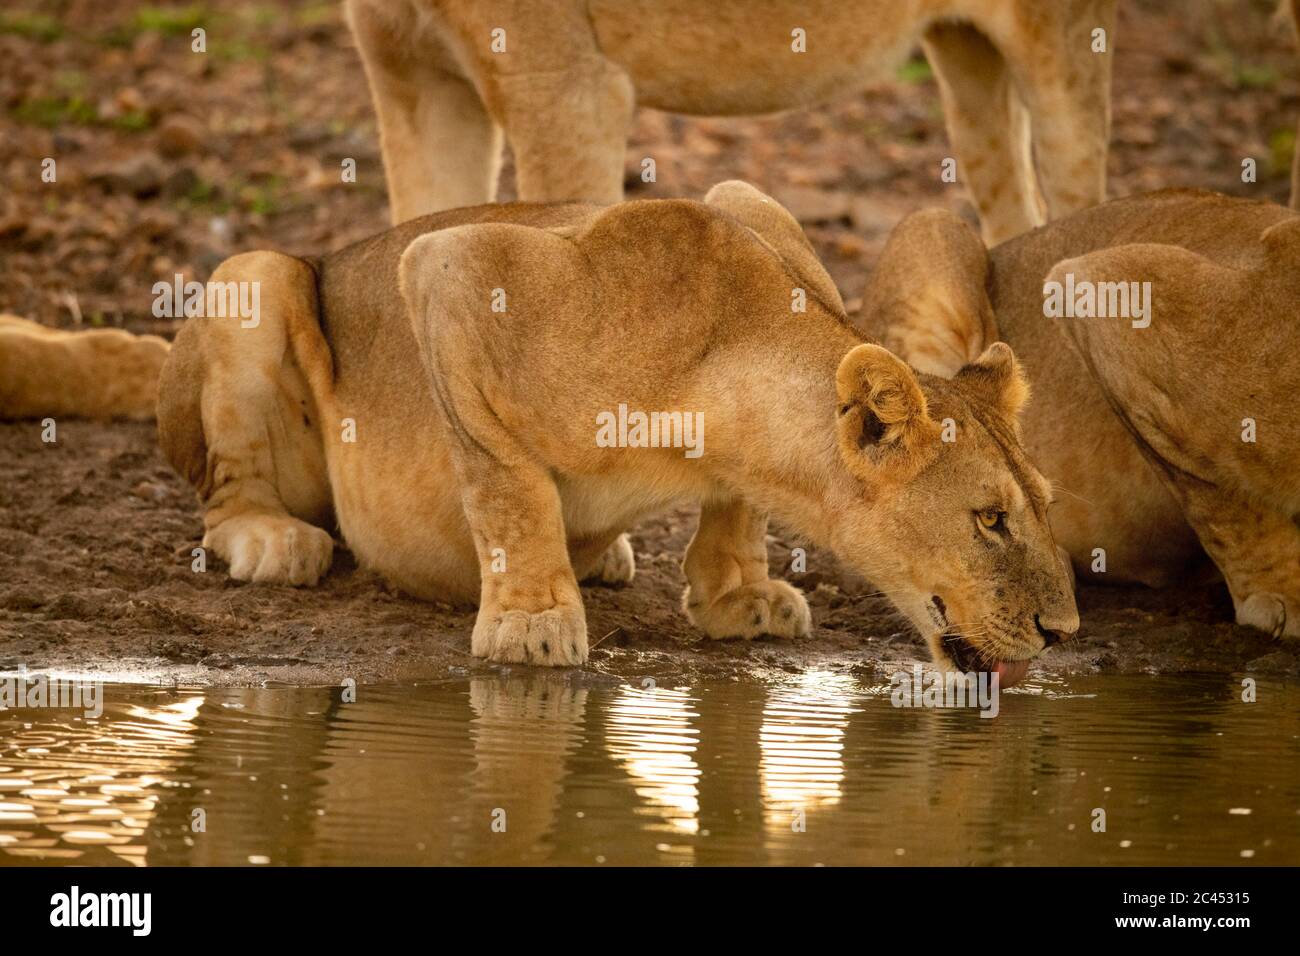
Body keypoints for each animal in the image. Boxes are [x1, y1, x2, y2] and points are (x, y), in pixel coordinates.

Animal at [0, 183, 1077, 678]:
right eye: (988, 520)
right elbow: (506, 485)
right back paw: (272, 539)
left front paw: (736, 594)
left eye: (1041, 505)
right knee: (225, 489)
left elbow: (734, 505)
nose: (1062, 632)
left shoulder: (750, 205)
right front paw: (531, 620)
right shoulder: (452, 272)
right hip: (254, 277)